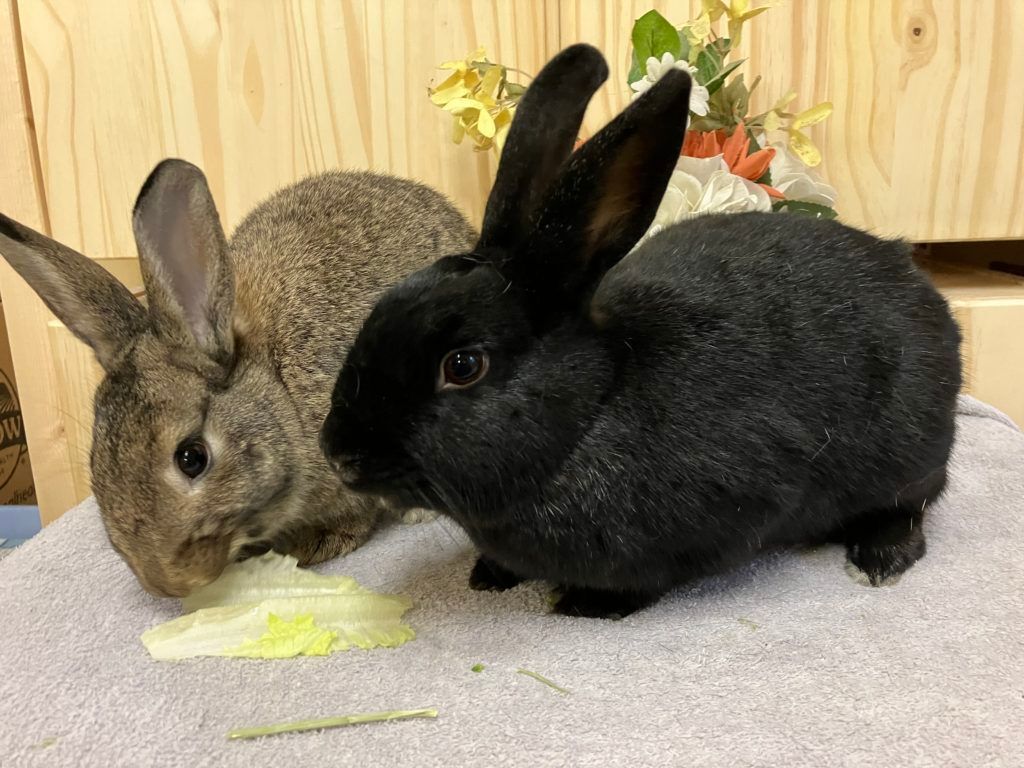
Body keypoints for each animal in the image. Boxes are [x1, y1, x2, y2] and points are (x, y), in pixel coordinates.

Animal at [319, 44, 962, 619]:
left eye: (462, 366)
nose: (339, 454)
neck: (593, 409)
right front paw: (490, 574)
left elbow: (649, 581)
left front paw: (584, 604)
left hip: (908, 458)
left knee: (912, 508)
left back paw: (877, 560)